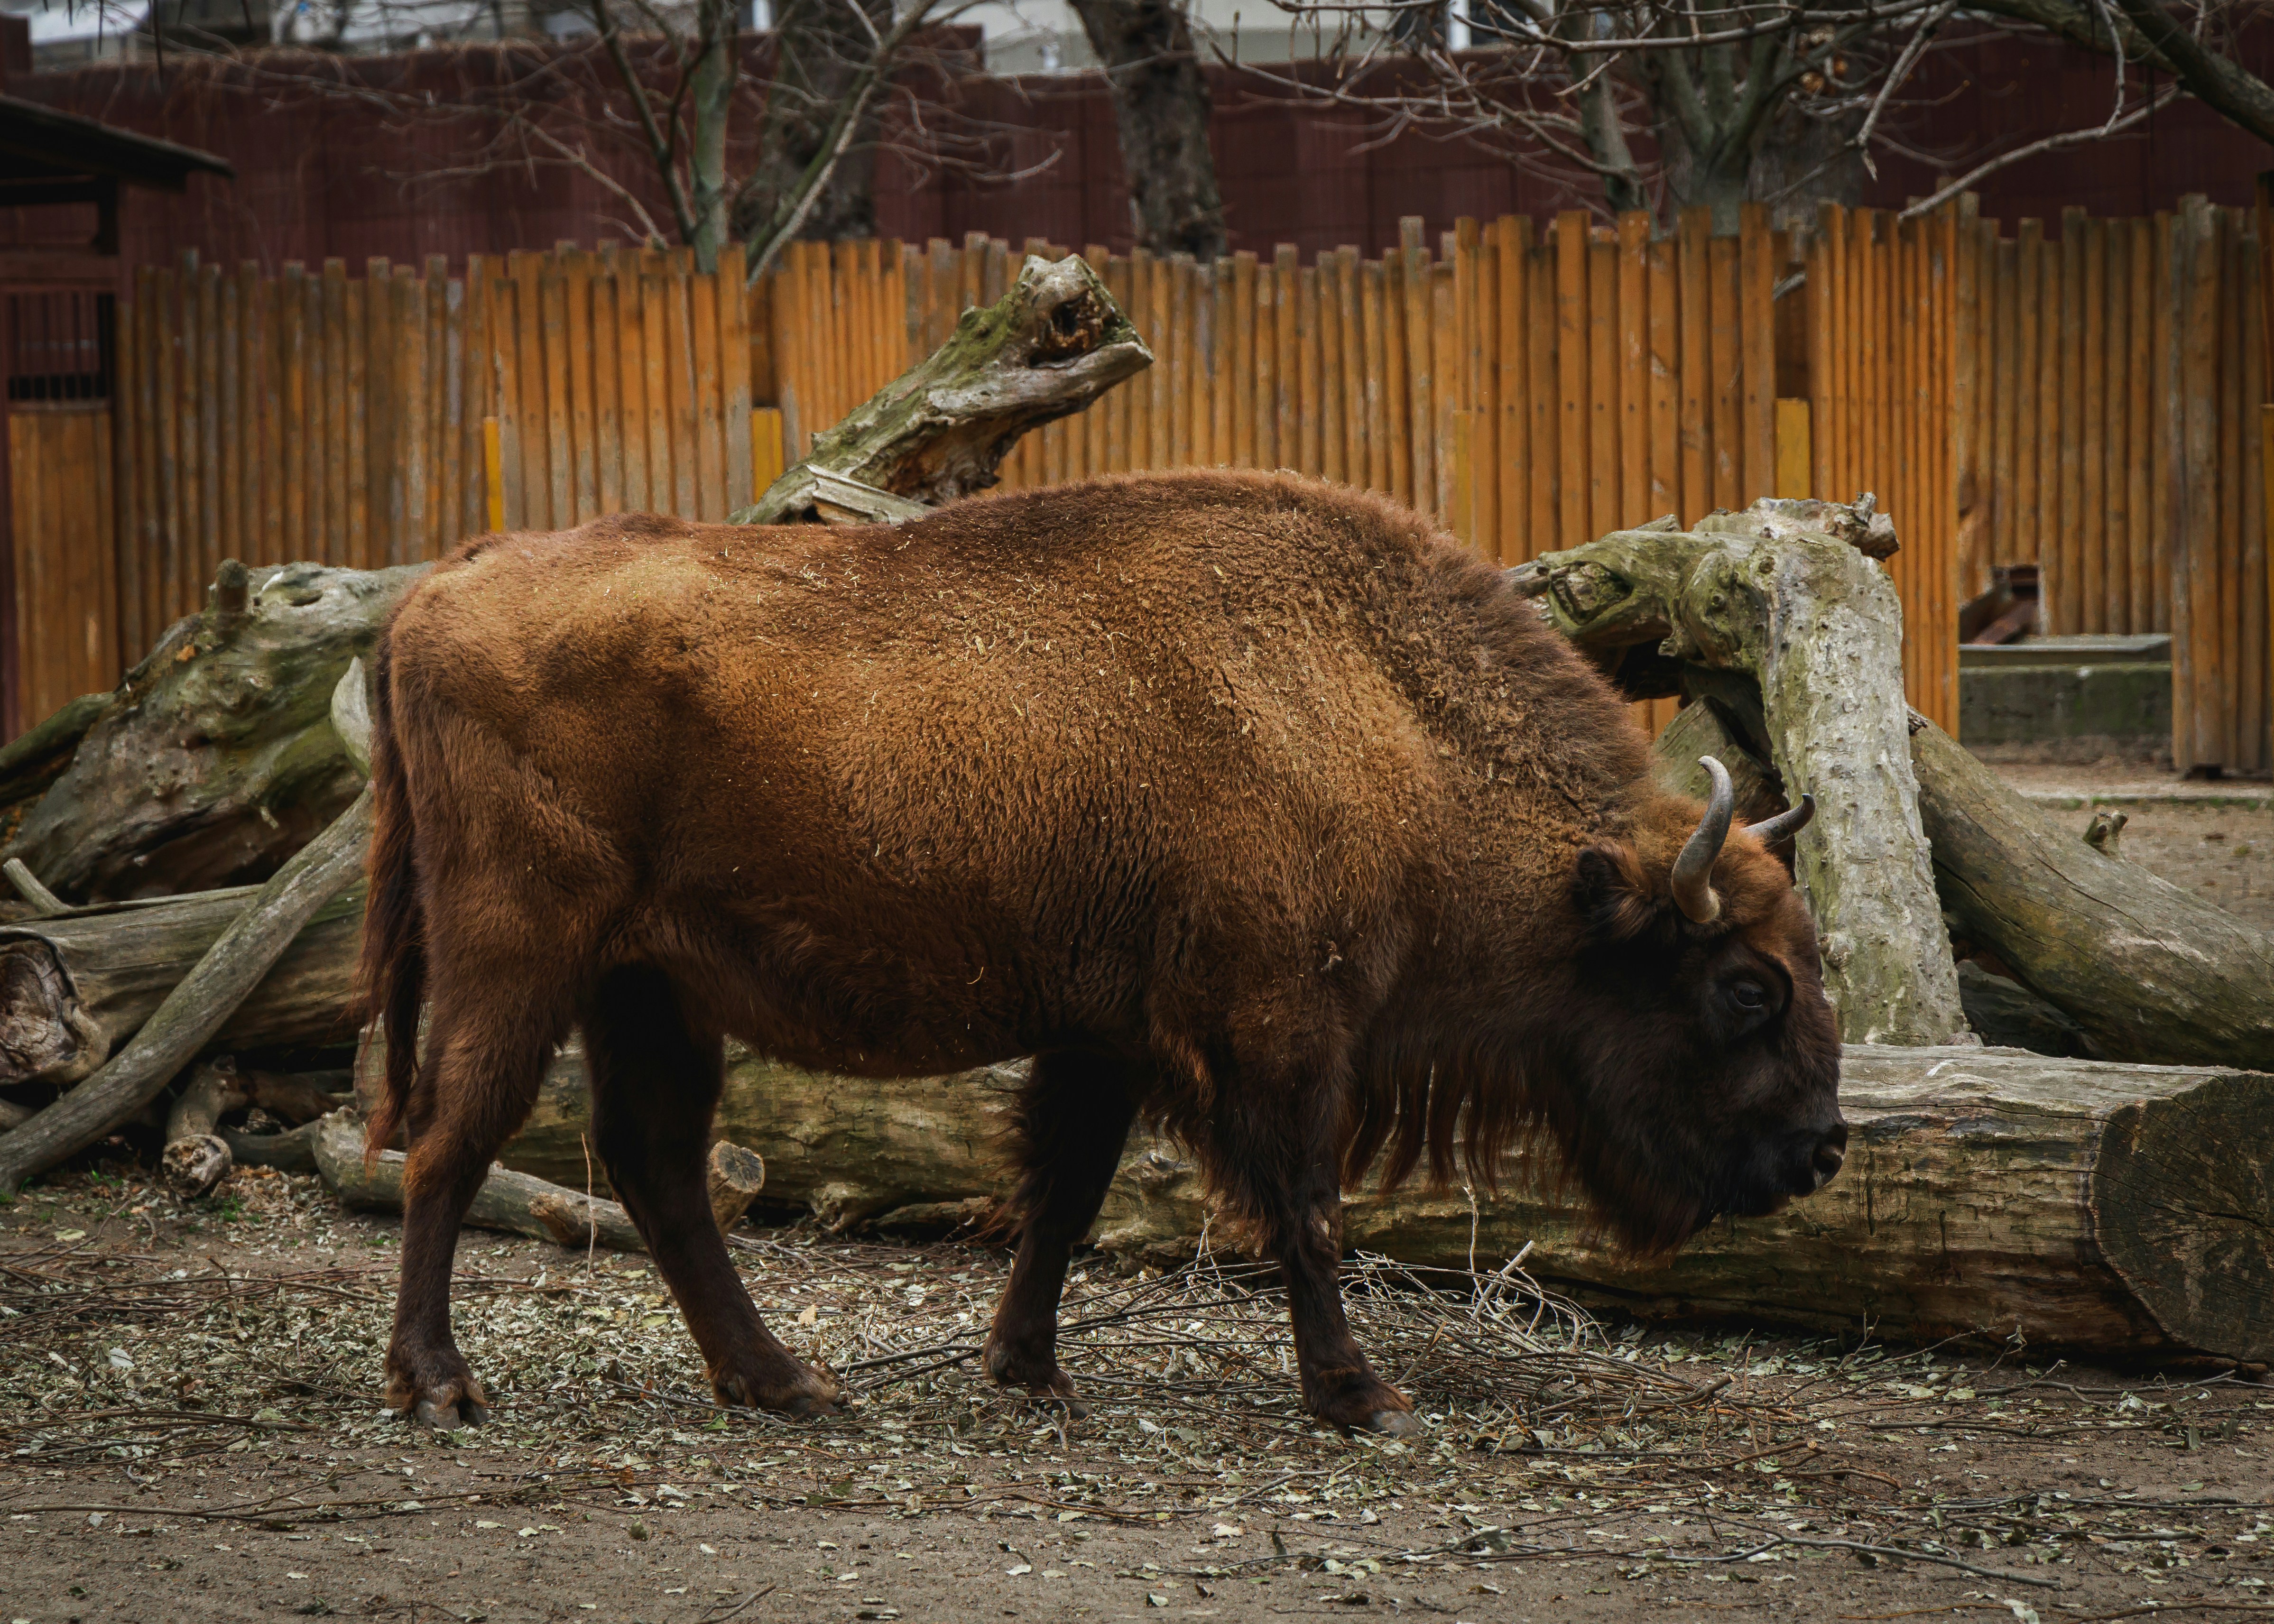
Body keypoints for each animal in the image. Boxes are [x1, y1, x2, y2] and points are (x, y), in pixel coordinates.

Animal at [360, 470, 1844, 1435]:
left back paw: (787, 1385)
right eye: (1742, 988)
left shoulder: (1110, 1036)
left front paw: (1029, 1369)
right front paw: (1363, 1395)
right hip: (521, 952)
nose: (1821, 1151)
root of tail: (443, 583)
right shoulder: (1282, 1033)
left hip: (647, 984)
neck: (1374, 718)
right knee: (453, 1134)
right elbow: (1304, 1210)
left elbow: (1066, 1194)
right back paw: (442, 1384)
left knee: (657, 1163)